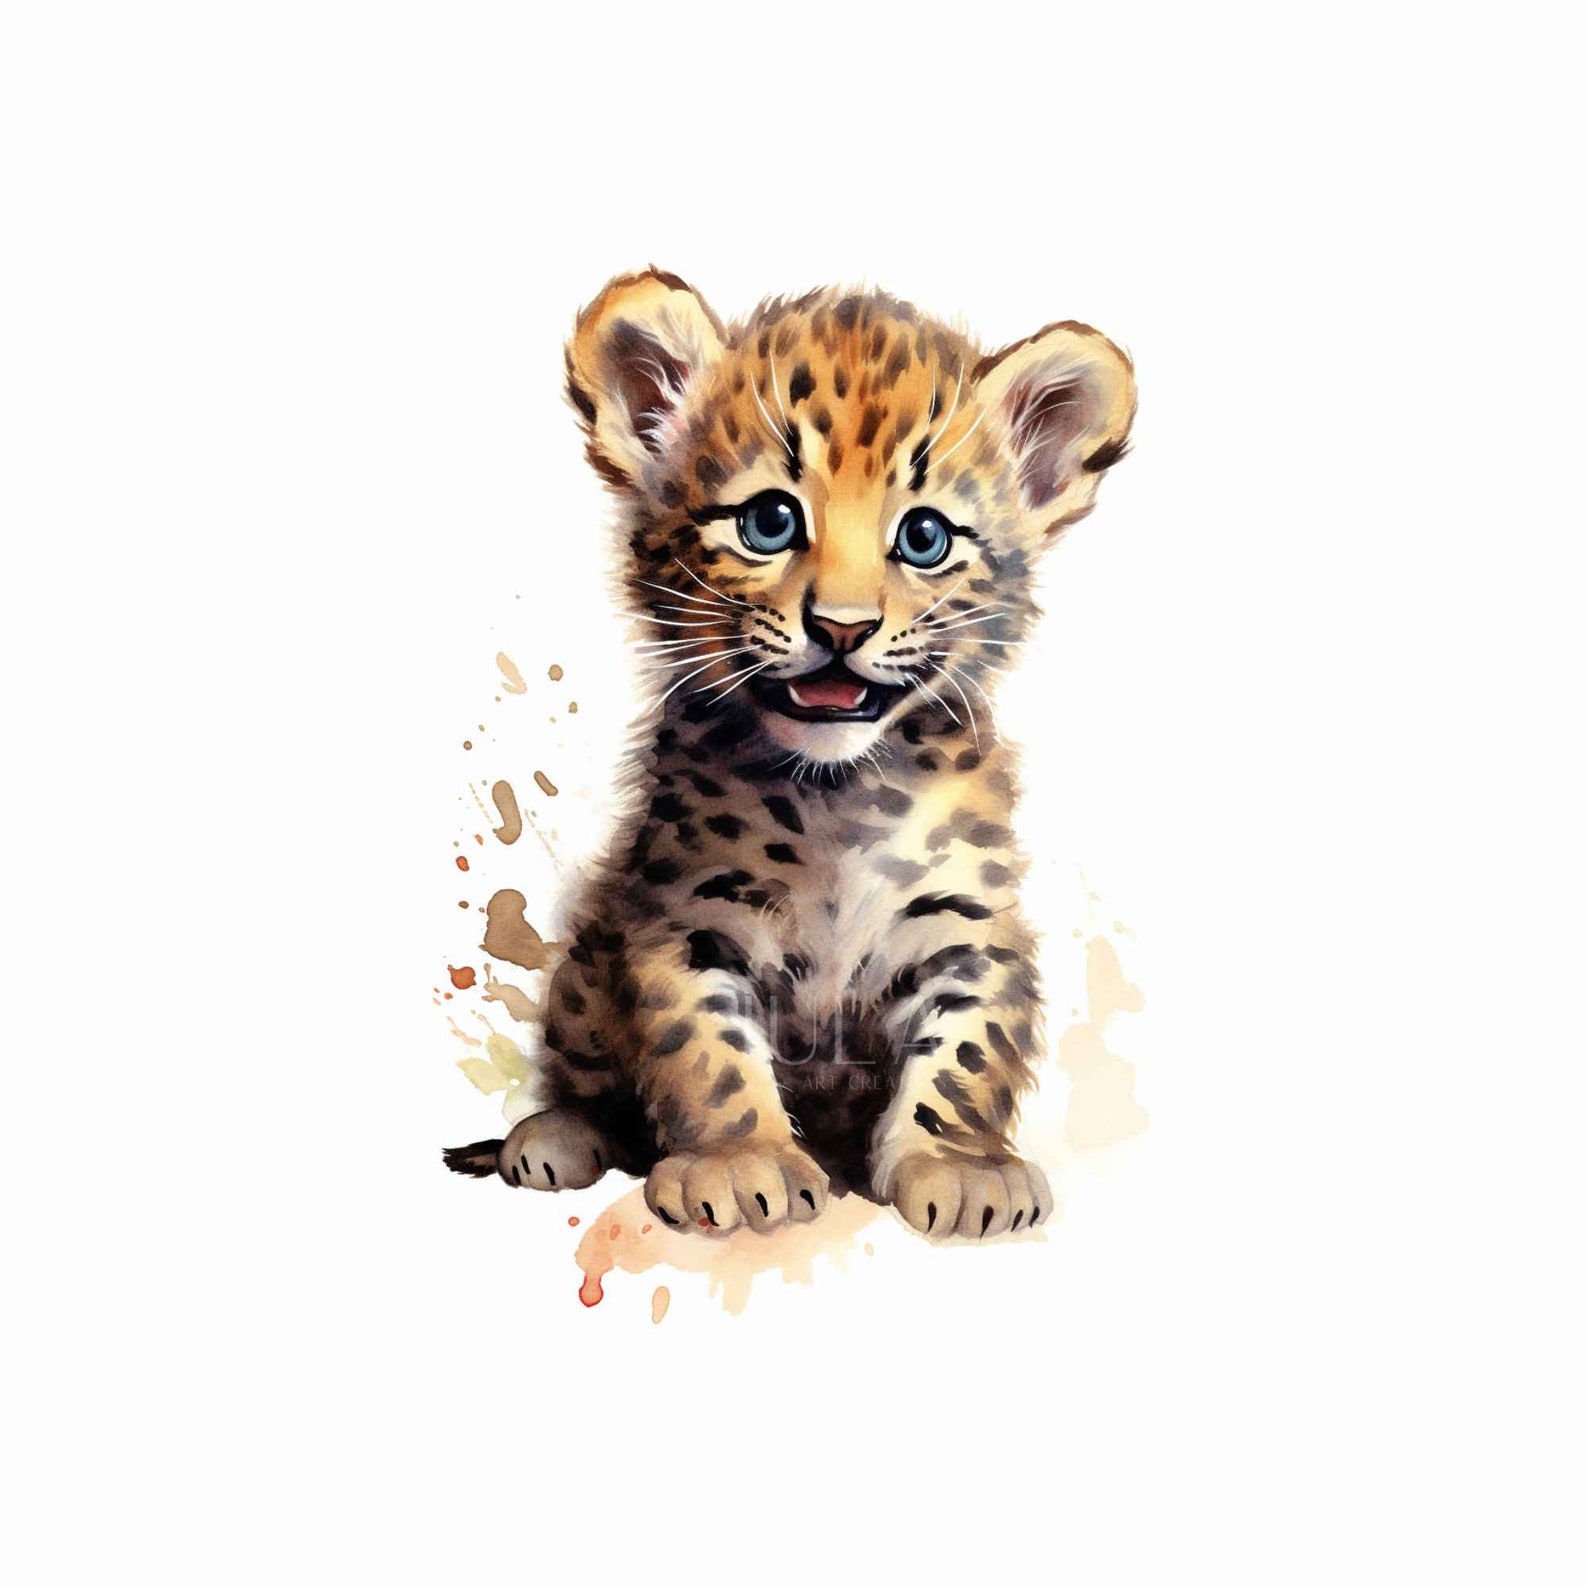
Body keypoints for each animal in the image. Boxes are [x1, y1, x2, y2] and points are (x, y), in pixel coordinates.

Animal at [444, 269, 1135, 1240]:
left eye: (924, 538)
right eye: (770, 522)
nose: (841, 629)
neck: (840, 791)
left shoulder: (967, 925)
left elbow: (968, 1048)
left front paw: (961, 1167)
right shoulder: (682, 919)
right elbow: (705, 1049)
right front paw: (743, 1166)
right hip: (587, 963)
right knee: (585, 1074)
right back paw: (554, 1135)